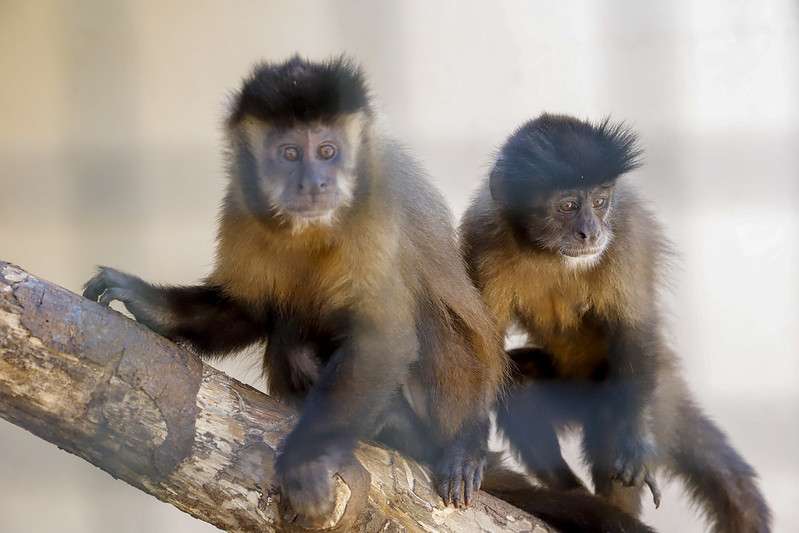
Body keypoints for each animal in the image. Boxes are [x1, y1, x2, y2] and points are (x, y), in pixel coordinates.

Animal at [459, 113, 772, 533]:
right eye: (568, 205)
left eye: (600, 202)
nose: (590, 231)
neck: (549, 253)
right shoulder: (482, 236)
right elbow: (482, 347)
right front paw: (466, 450)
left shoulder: (624, 233)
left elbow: (635, 327)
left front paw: (632, 446)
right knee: (518, 383)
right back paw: (568, 489)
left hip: (658, 394)